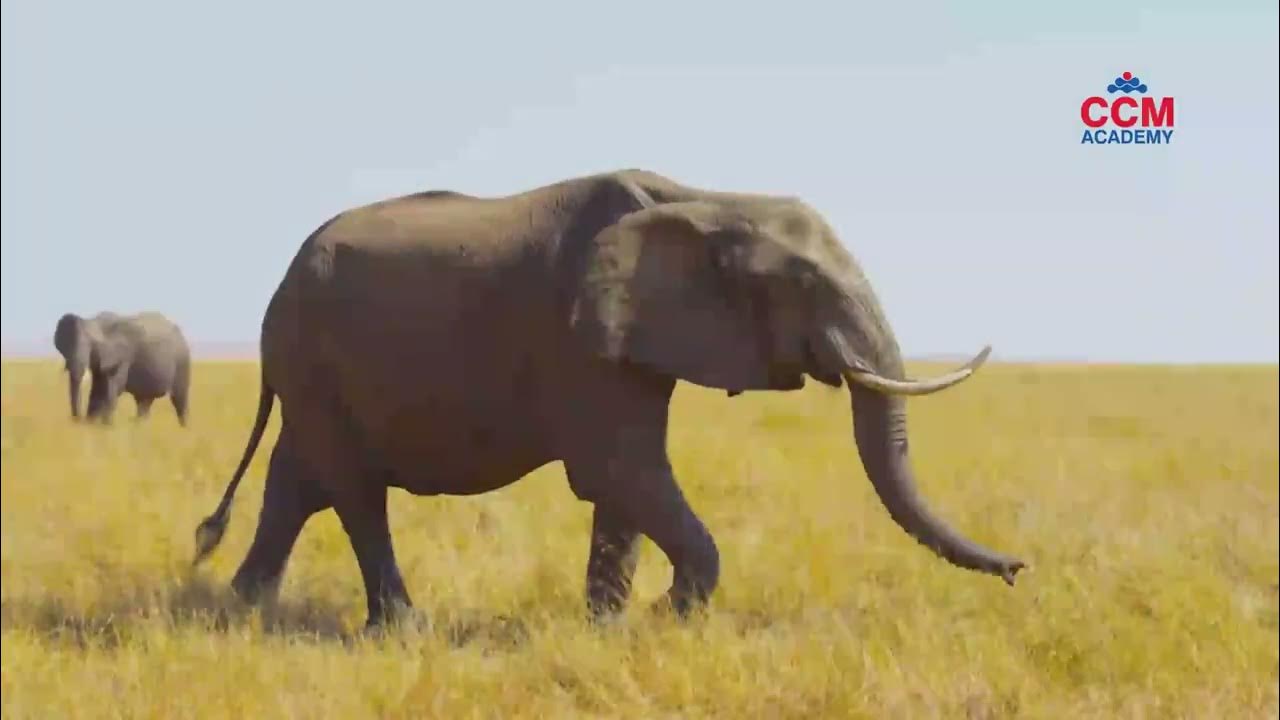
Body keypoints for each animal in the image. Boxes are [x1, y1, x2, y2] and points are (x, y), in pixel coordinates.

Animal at [53, 311, 192, 426]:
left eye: (91, 345)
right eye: (62, 349)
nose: (77, 420)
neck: (93, 324)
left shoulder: (123, 355)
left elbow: (111, 388)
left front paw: (106, 426)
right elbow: (97, 389)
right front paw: (92, 425)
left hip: (182, 361)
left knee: (179, 399)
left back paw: (184, 429)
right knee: (144, 402)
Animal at [191, 168, 1025, 630]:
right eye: (805, 285)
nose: (1022, 571)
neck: (707, 199)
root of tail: (278, 284)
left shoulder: (627, 340)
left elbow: (623, 487)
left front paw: (607, 626)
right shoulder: (580, 338)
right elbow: (617, 470)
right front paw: (663, 618)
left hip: (312, 366)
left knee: (299, 483)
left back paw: (240, 611)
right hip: (311, 354)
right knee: (355, 492)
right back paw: (399, 629)